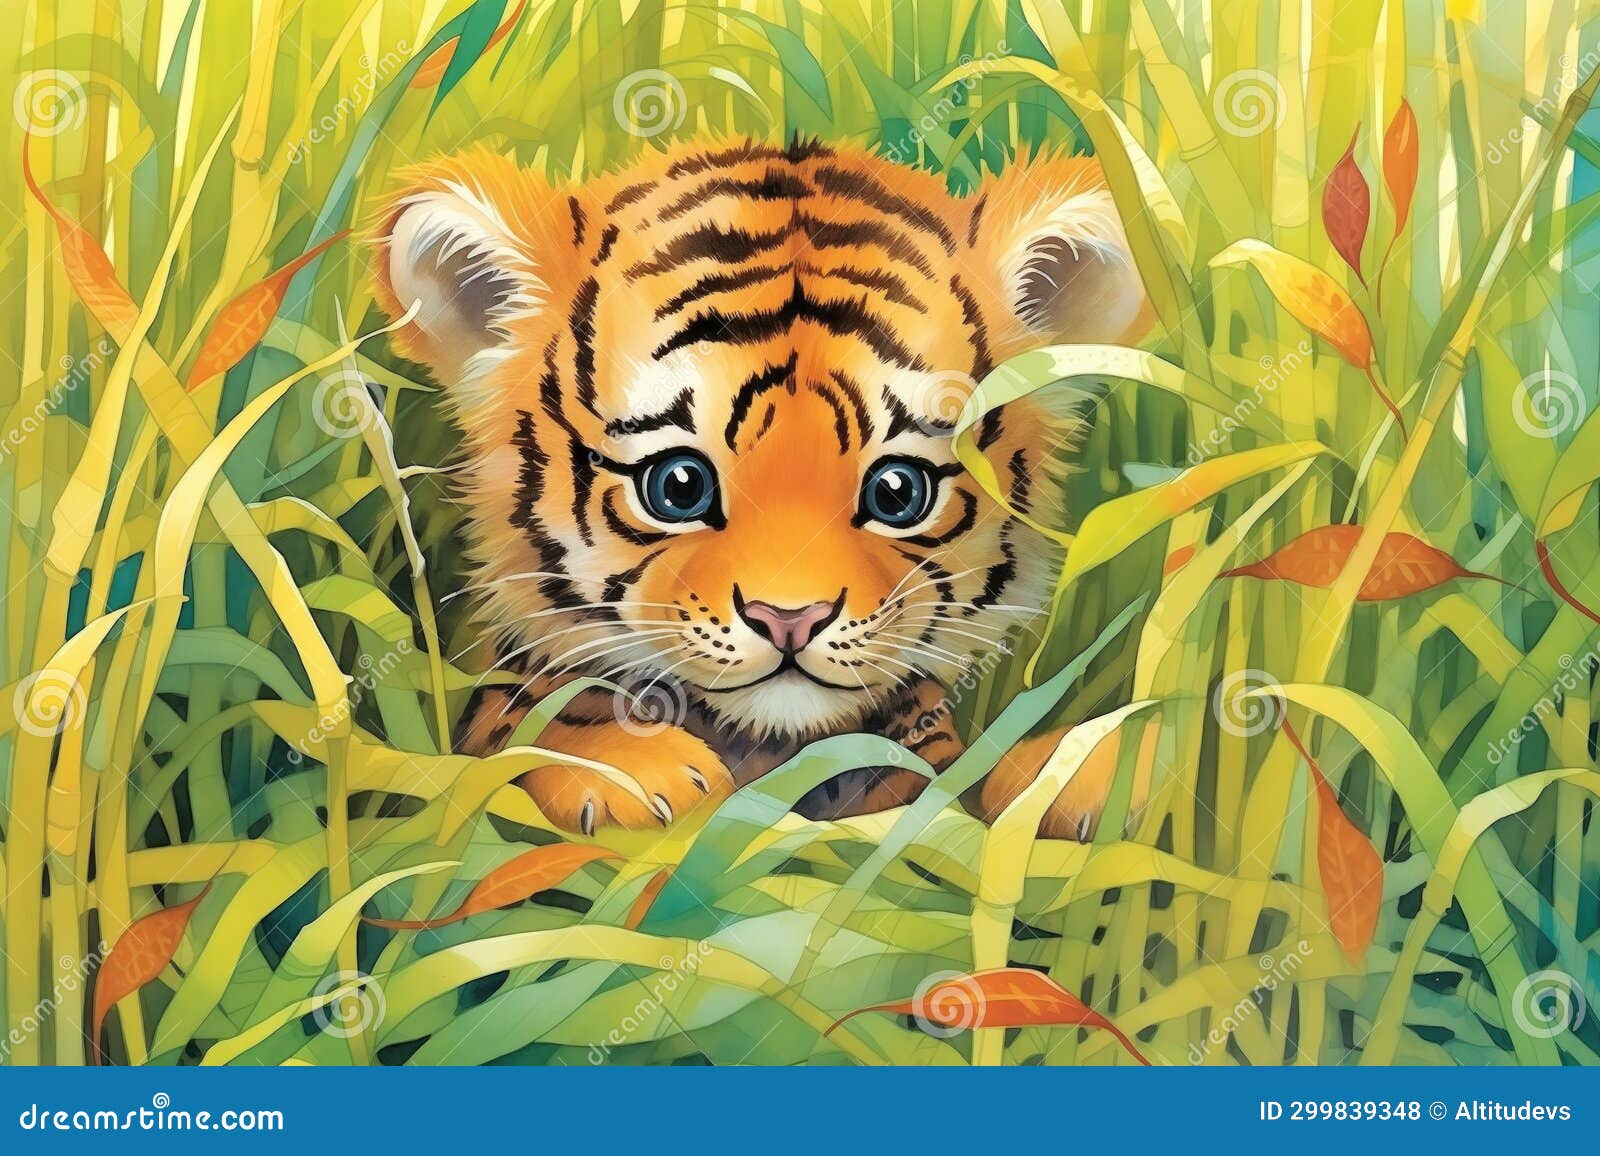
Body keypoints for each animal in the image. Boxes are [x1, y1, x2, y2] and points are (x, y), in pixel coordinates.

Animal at [369, 137, 1152, 840]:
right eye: (678, 486)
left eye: (898, 493)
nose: (789, 620)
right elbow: (520, 730)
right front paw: (630, 771)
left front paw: (1085, 772)